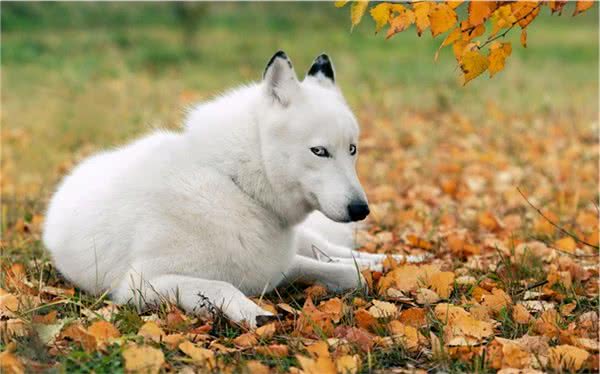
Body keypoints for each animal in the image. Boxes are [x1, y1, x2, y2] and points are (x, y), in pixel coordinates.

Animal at [42, 51, 420, 326]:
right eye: (319, 151)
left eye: (352, 149)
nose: (361, 210)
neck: (235, 186)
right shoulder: (141, 284)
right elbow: (220, 285)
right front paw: (255, 313)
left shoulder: (279, 265)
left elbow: (347, 273)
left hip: (311, 241)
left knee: (341, 252)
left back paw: (403, 260)